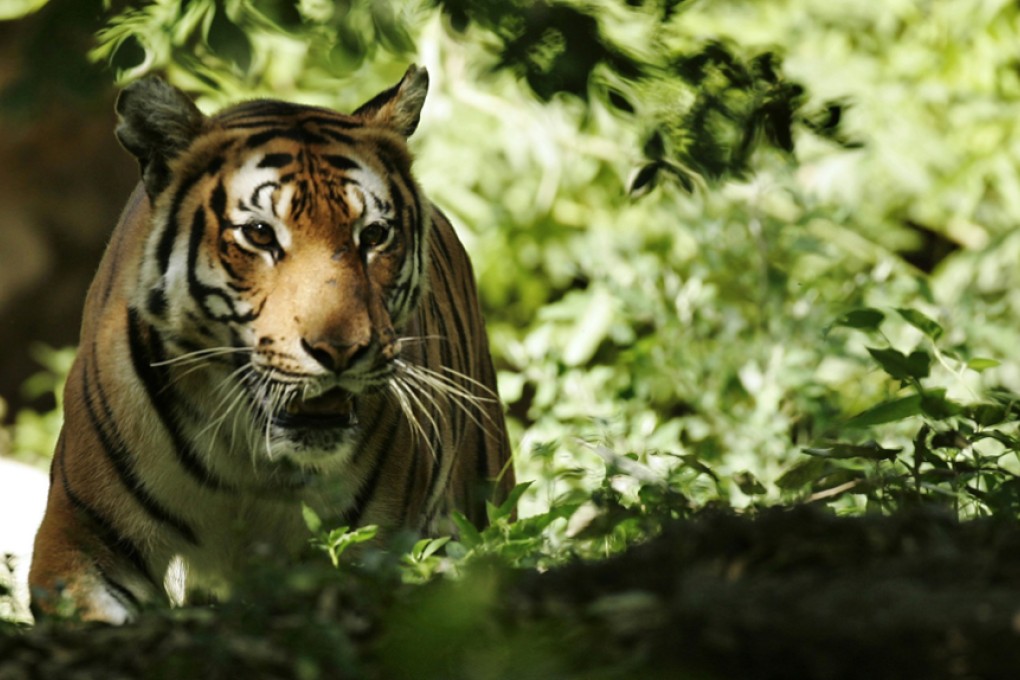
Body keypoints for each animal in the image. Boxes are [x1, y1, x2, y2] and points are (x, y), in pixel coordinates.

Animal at [28, 65, 514, 623]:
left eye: (373, 235)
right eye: (260, 234)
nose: (341, 351)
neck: (246, 458)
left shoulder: (368, 551)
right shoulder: (82, 534)